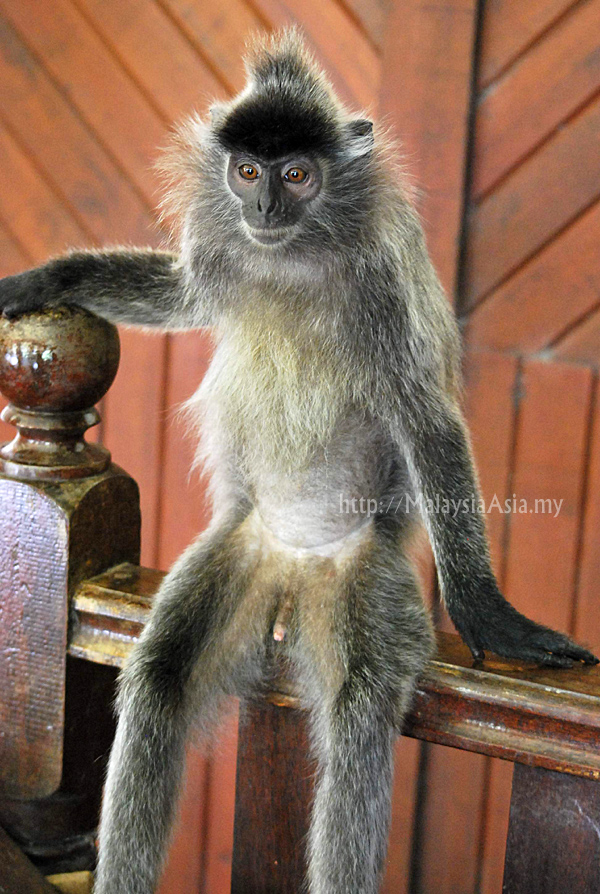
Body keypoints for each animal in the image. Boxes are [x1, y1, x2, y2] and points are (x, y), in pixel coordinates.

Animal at [0, 30, 596, 894]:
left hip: (365, 575)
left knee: (359, 709)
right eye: (249, 171)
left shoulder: (385, 283)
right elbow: (181, 297)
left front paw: (489, 614)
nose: (263, 210)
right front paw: (42, 279)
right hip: (239, 550)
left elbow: (427, 418)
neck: (293, 256)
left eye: (298, 175)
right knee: (162, 678)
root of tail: (292, 567)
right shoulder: (222, 258)